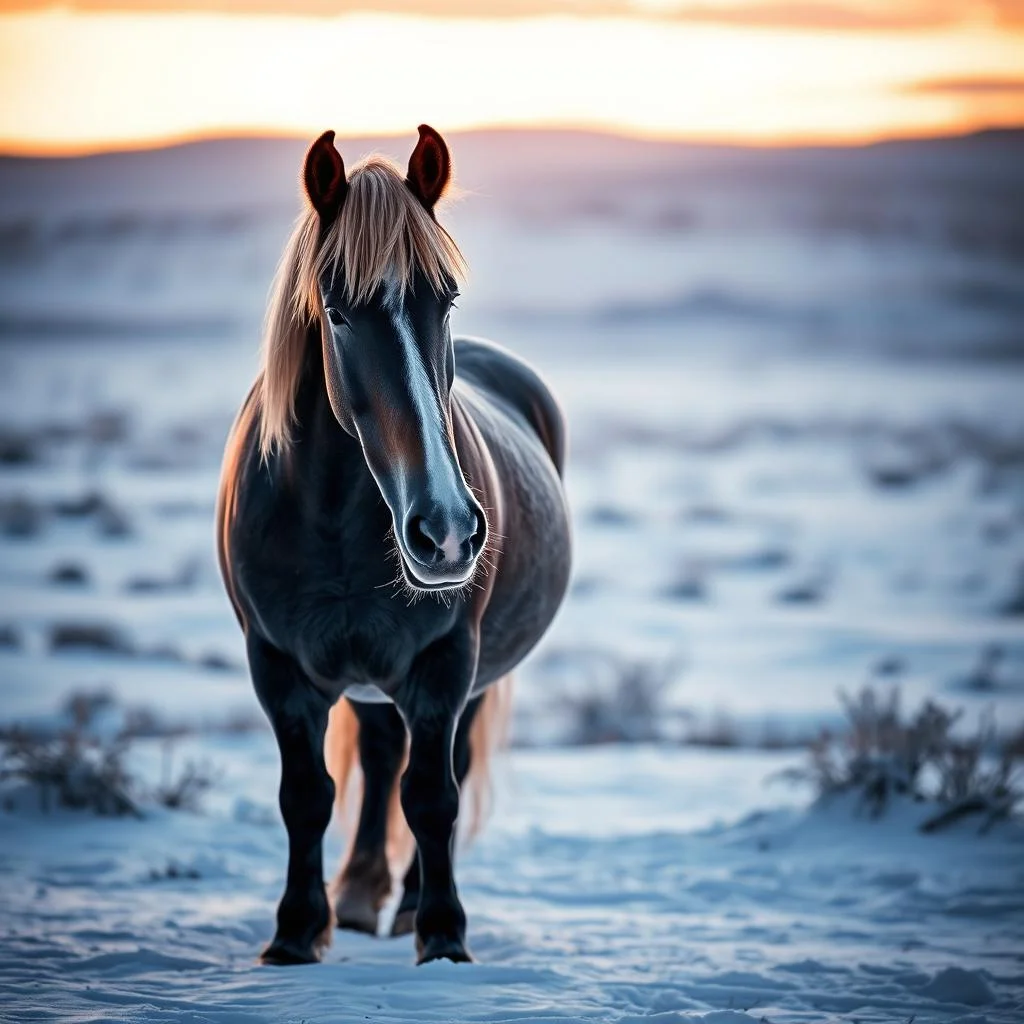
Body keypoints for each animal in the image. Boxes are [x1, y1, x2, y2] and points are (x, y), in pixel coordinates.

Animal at [216, 124, 572, 966]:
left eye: (445, 299)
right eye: (337, 311)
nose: (445, 532)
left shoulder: (444, 663)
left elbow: (433, 796)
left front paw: (442, 934)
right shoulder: (277, 666)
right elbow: (306, 796)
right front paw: (294, 933)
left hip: (465, 677)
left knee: (438, 767)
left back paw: (406, 904)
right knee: (380, 758)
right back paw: (354, 897)